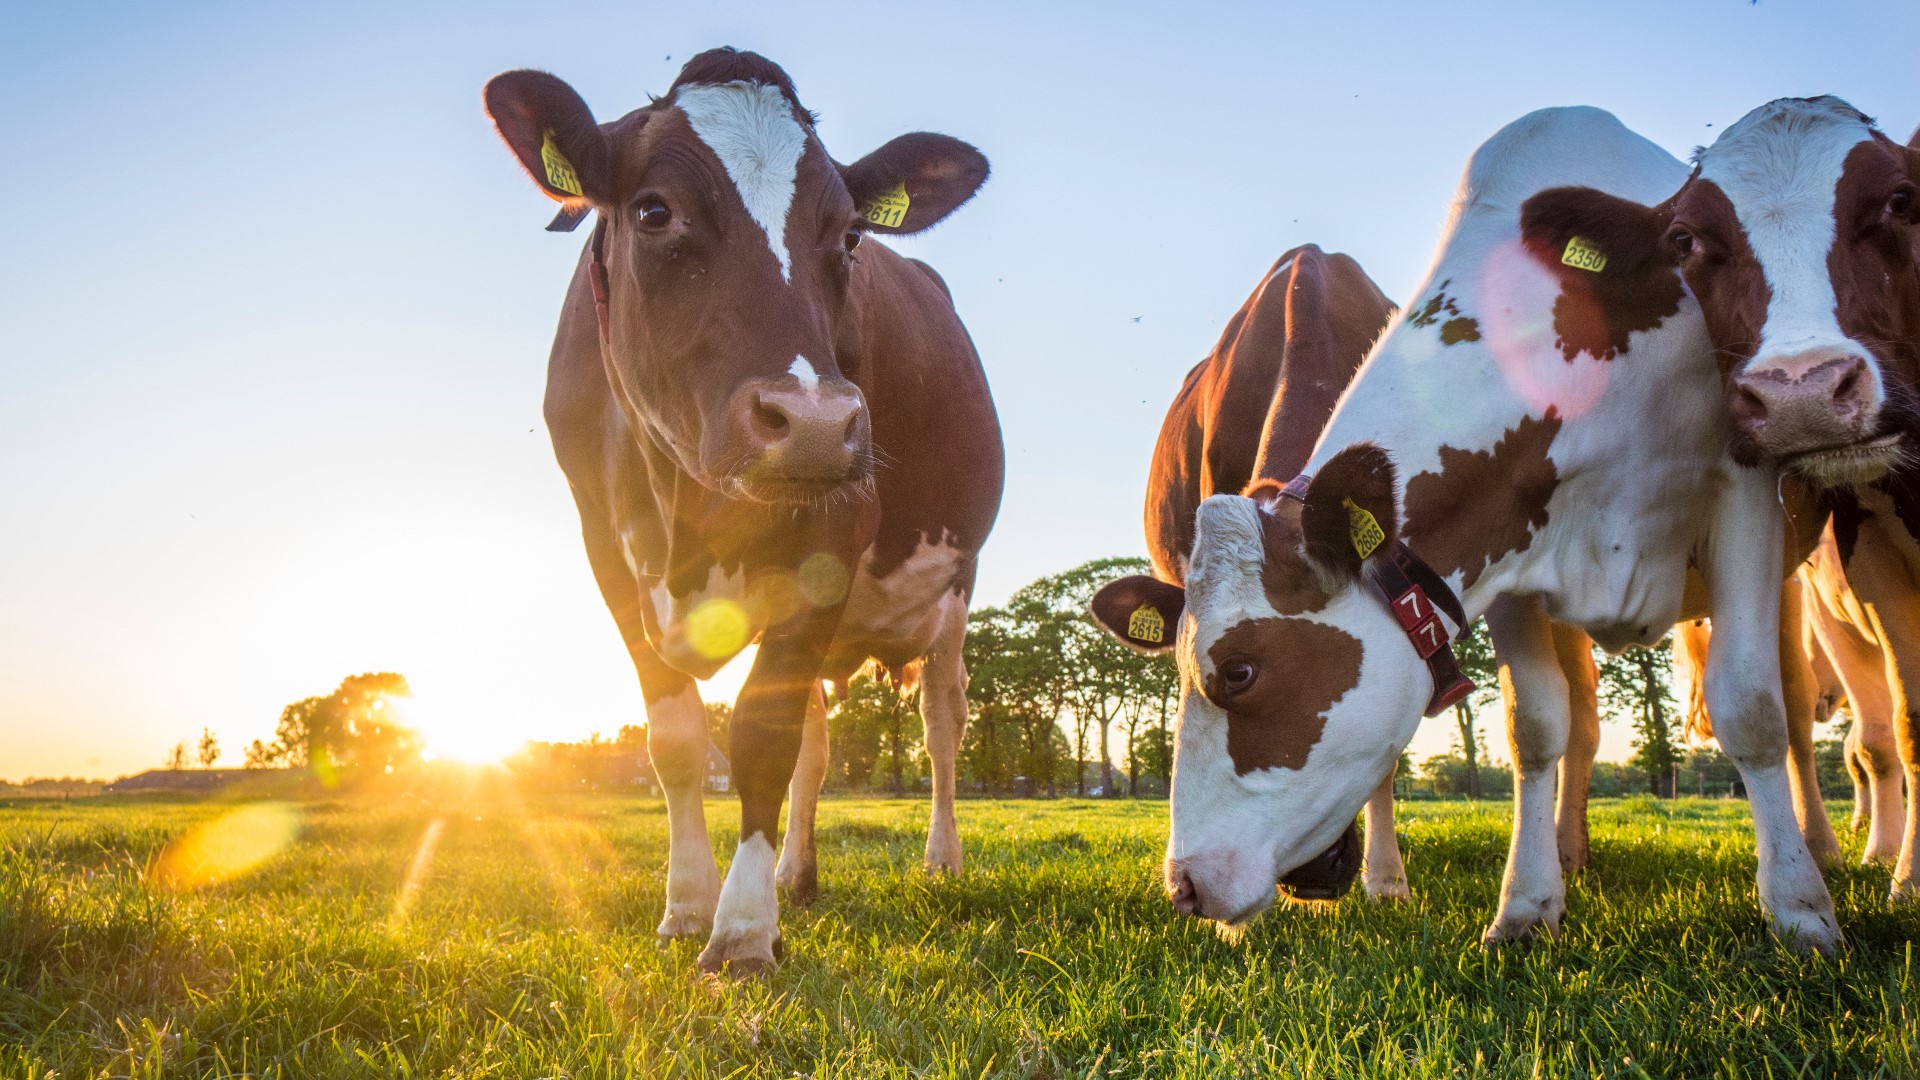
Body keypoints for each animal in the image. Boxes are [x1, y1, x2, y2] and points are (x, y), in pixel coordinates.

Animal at [484, 48, 1002, 973]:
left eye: (851, 235)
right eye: (654, 210)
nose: (817, 423)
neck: (686, 507)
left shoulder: (836, 534)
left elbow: (761, 736)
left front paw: (741, 933)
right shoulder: (605, 551)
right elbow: (678, 740)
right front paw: (688, 906)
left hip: (953, 588)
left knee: (942, 724)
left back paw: (940, 862)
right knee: (820, 744)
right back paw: (799, 873)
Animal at [1094, 104, 1860, 953]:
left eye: (1238, 671)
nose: (1185, 886)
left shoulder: (1745, 496)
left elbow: (1751, 709)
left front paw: (1800, 911)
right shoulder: (1511, 553)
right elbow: (1538, 727)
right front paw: (1526, 905)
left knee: (1794, 709)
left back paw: (1828, 849)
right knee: (1584, 719)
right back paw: (1568, 853)